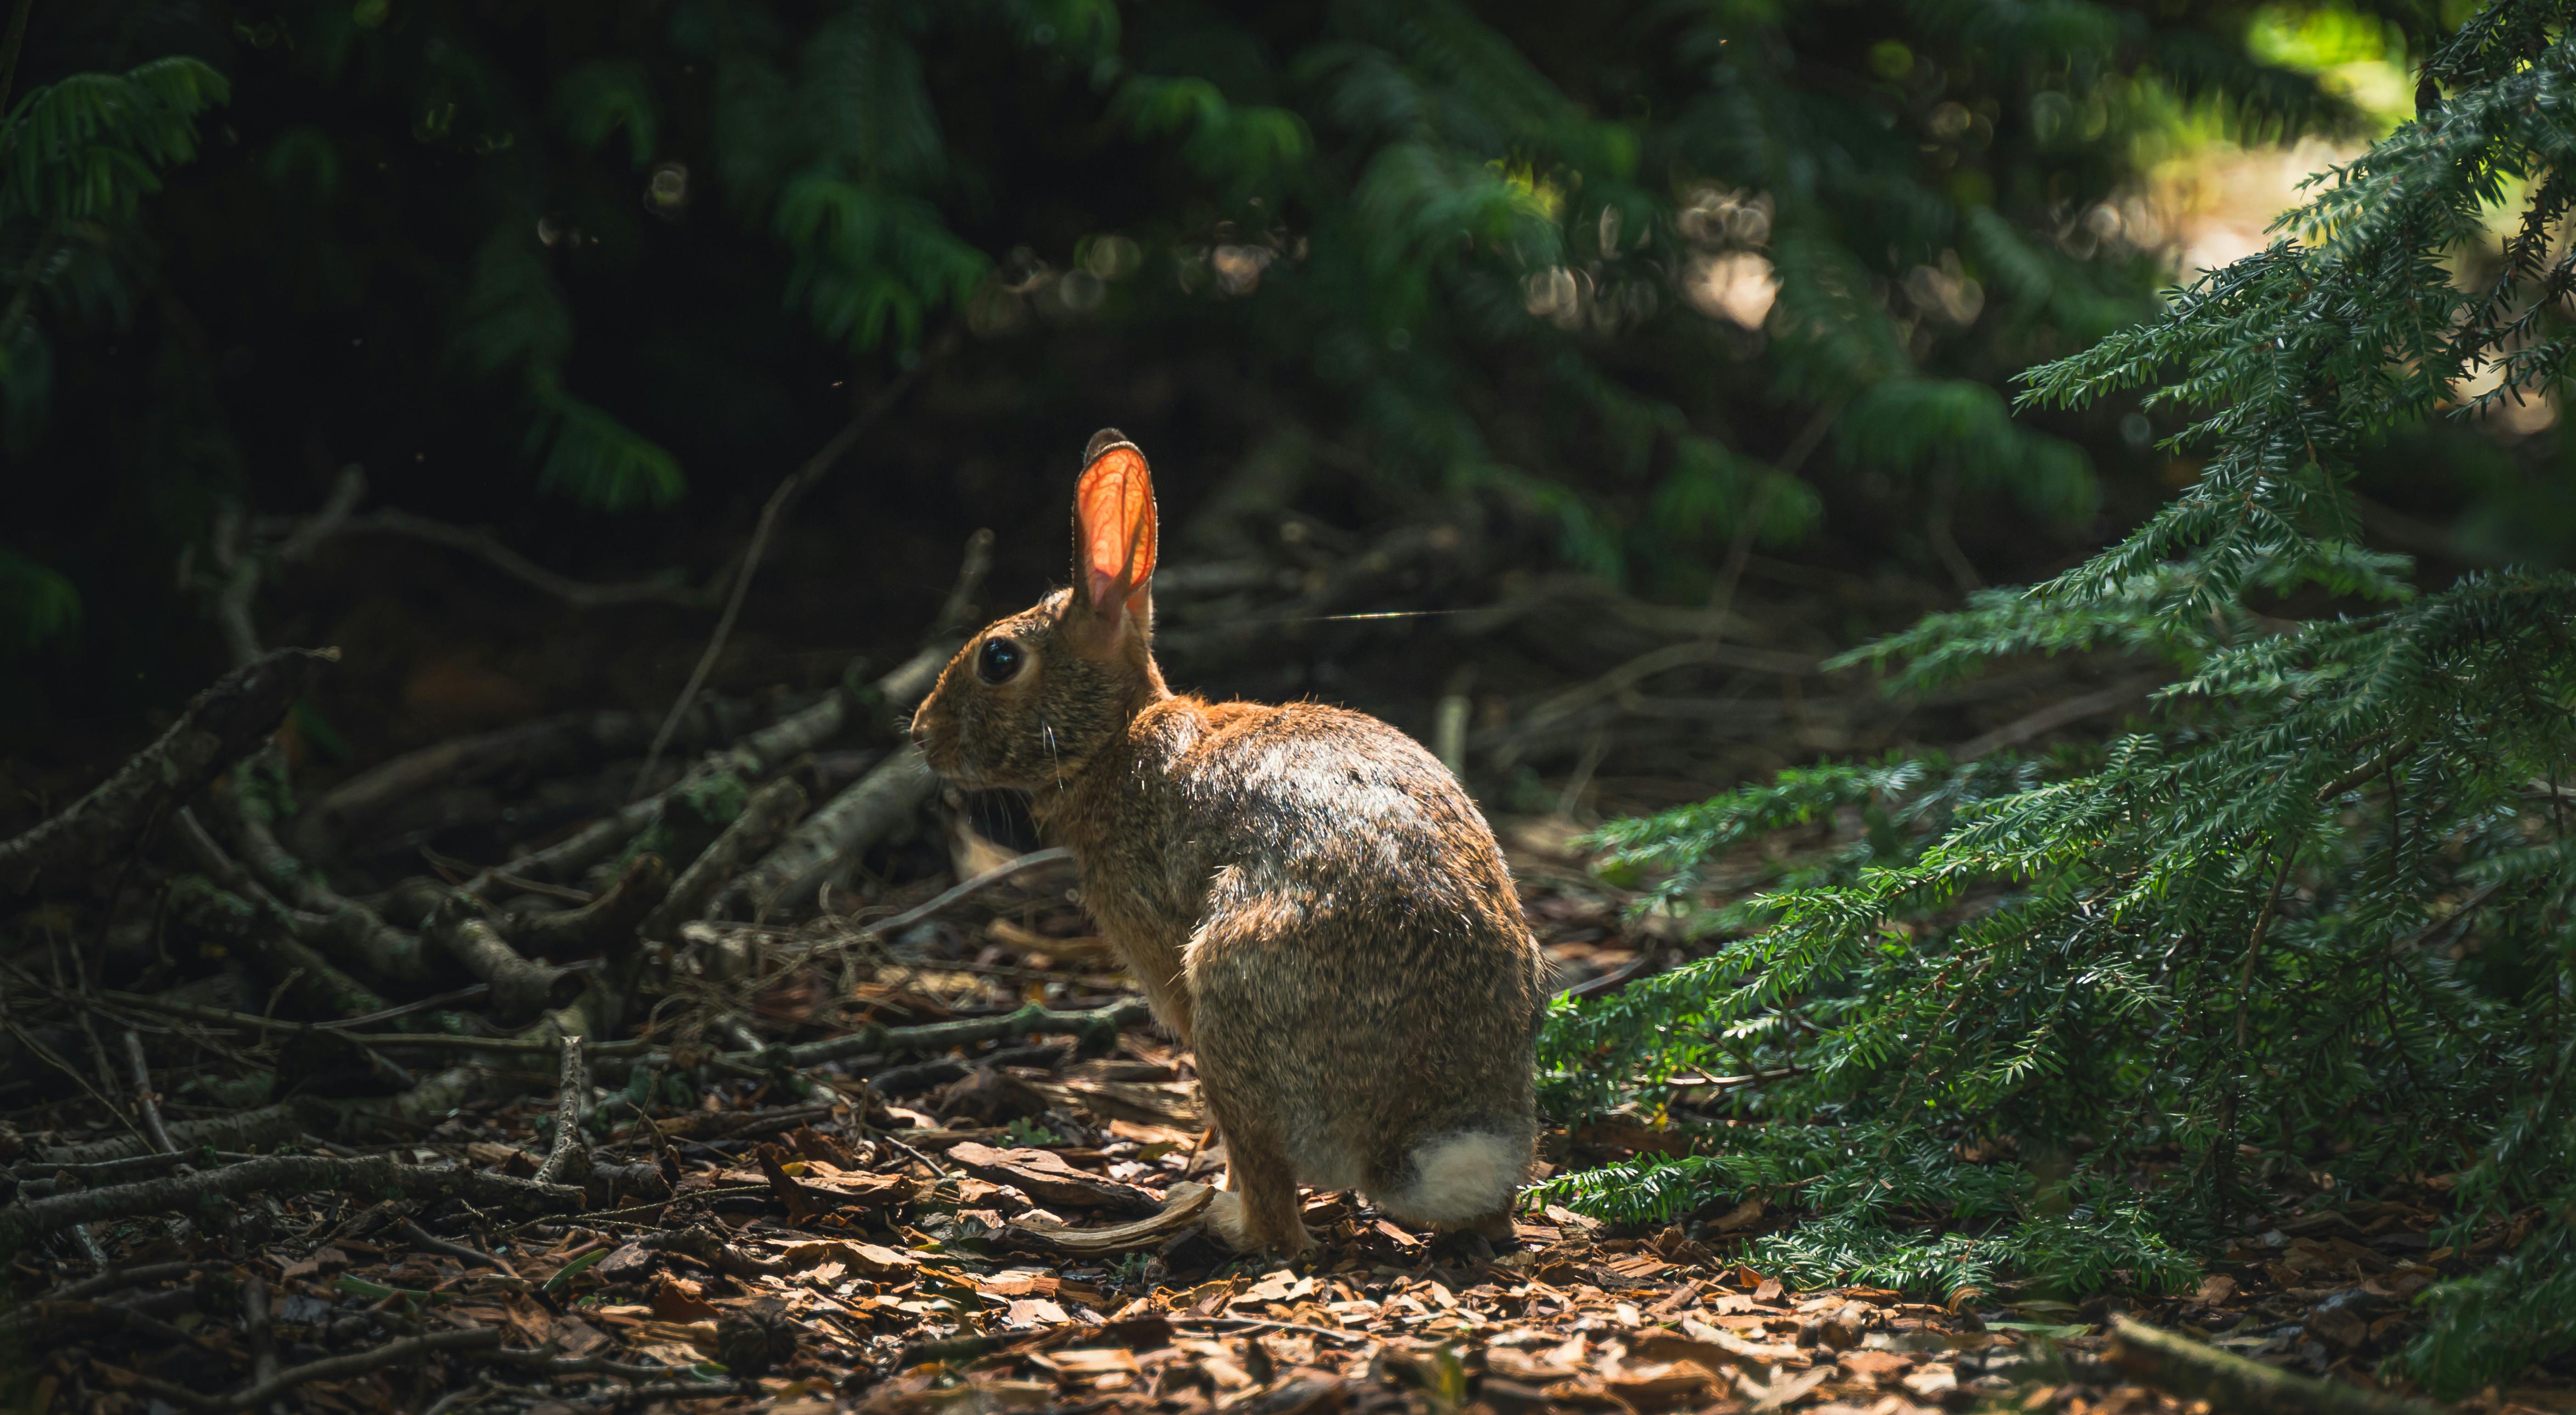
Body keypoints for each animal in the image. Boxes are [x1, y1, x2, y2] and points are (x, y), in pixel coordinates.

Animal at [909, 429, 1546, 1257]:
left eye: (998, 659)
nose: (919, 733)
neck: (1115, 741)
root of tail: (1411, 1138)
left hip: (1224, 996)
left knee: (1279, 1218)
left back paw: (1215, 1216)